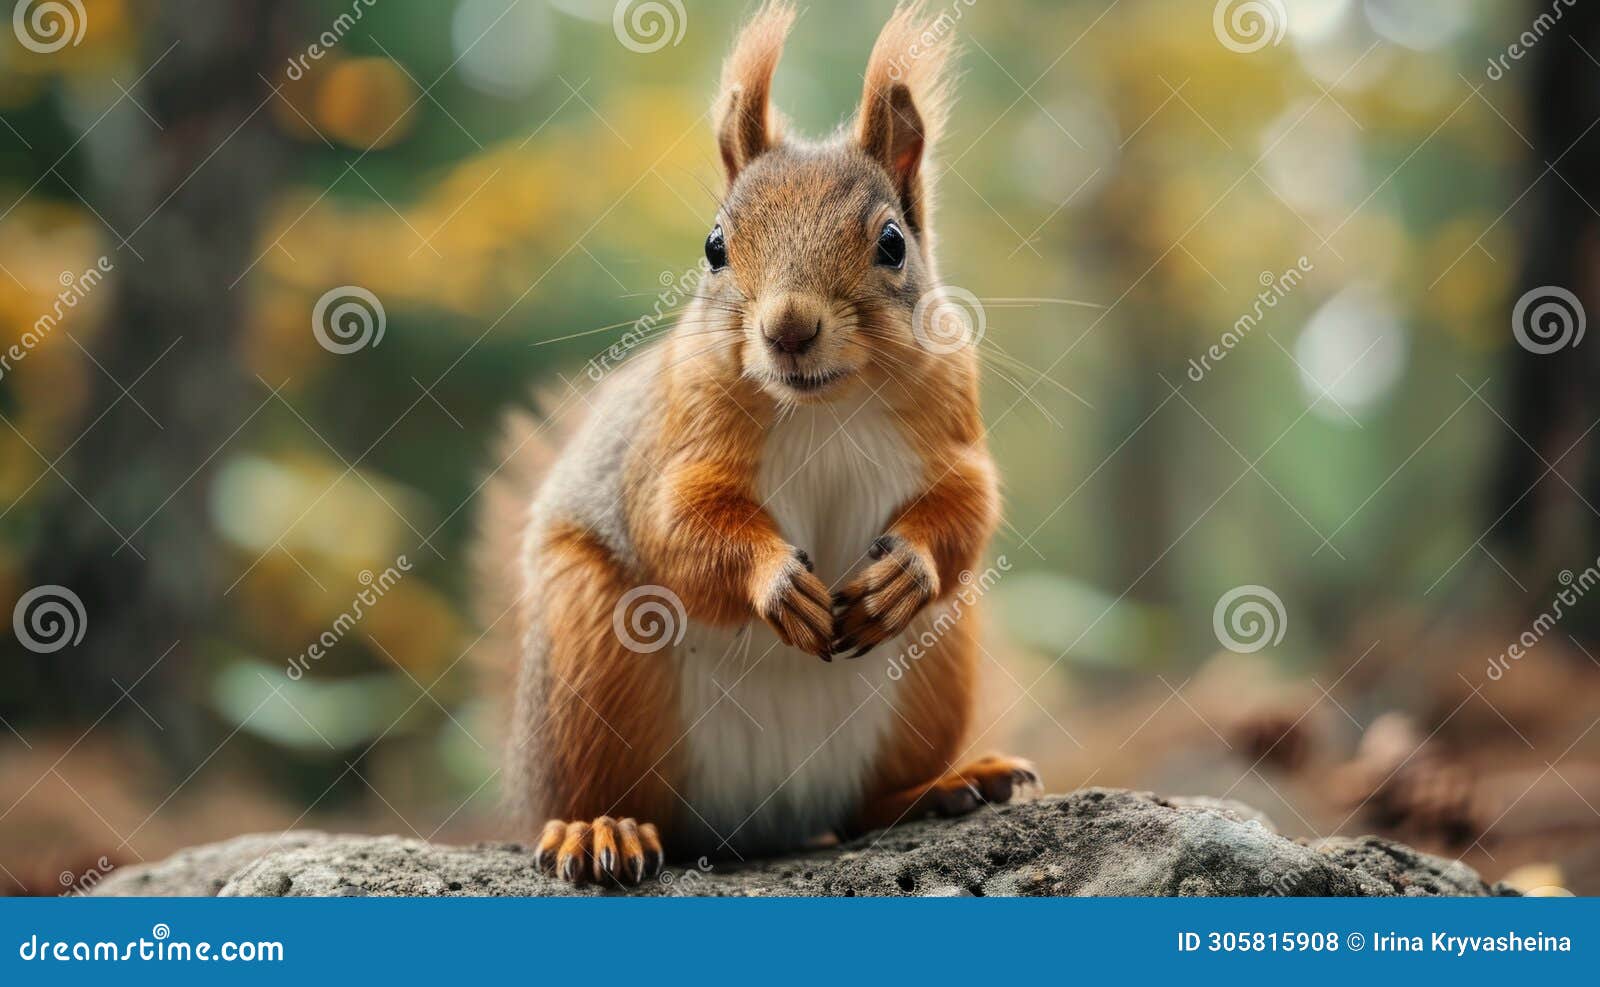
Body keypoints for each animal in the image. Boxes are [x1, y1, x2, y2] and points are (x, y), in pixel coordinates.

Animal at [477, 0, 1036, 886]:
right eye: (714, 246)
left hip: (936, 668)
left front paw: (905, 572)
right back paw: (599, 828)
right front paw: (775, 582)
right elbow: (678, 521)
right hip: (589, 653)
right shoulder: (677, 442)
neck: (825, 406)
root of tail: (764, 824)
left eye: (892, 242)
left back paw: (945, 785)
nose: (788, 329)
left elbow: (968, 504)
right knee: (591, 793)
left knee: (860, 811)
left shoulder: (953, 418)